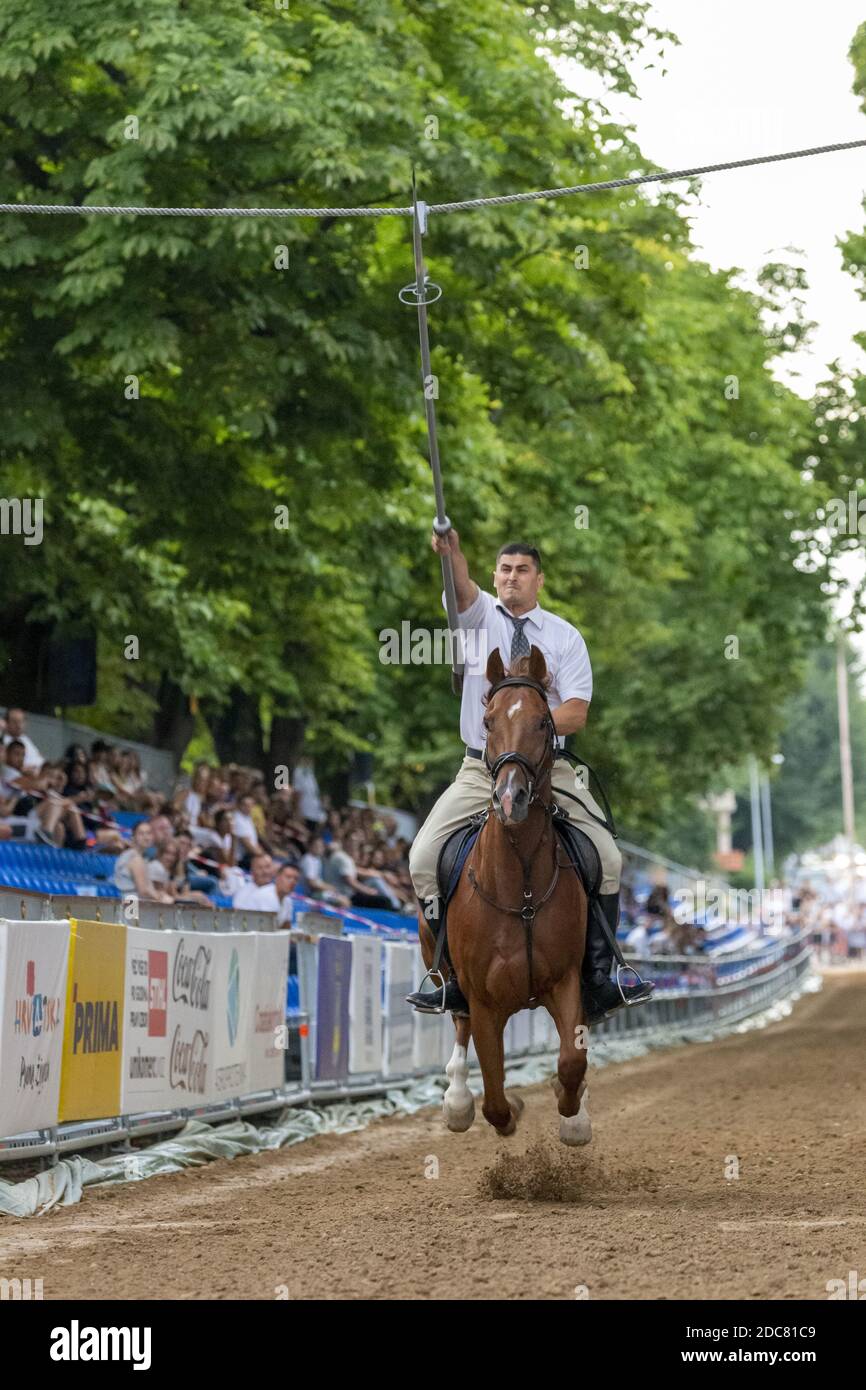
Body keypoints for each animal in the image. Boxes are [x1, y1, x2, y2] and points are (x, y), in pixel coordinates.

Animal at [418, 643, 592, 1145]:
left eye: (543, 722)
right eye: (489, 721)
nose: (510, 798)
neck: (523, 888)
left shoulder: (564, 982)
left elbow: (571, 1062)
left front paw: (571, 1112)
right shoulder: (483, 1000)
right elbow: (494, 1095)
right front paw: (508, 1110)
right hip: (445, 974)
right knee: (458, 1026)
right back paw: (456, 1103)